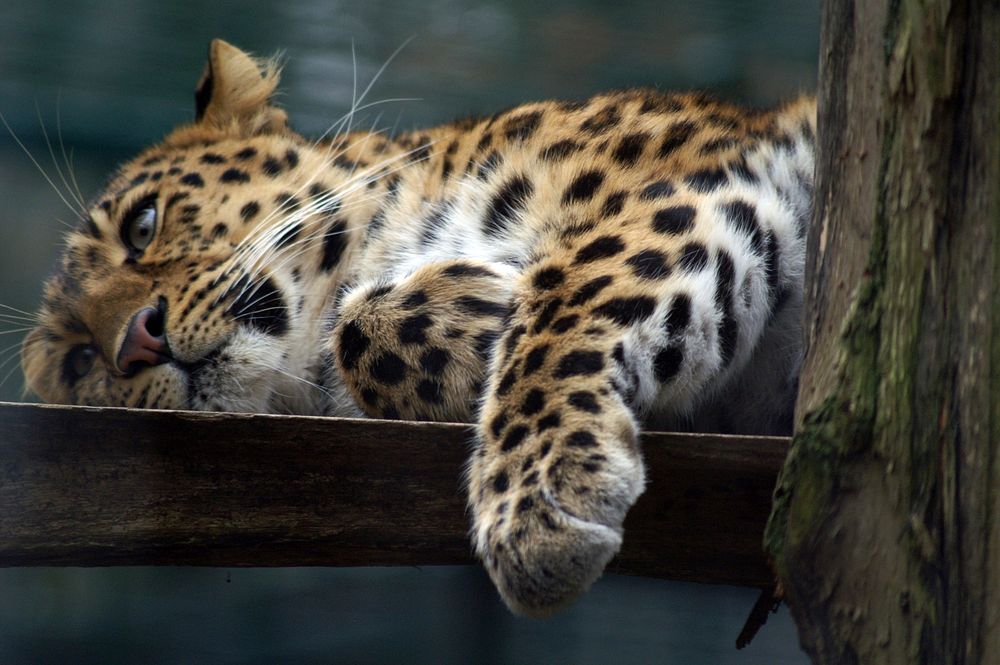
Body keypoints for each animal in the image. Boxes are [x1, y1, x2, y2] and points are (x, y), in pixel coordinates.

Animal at [20, 39, 815, 616]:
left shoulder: (696, 184)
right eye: (79, 362)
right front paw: (483, 305)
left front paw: (536, 500)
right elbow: (363, 327)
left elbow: (570, 288)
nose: (134, 341)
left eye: (143, 224)